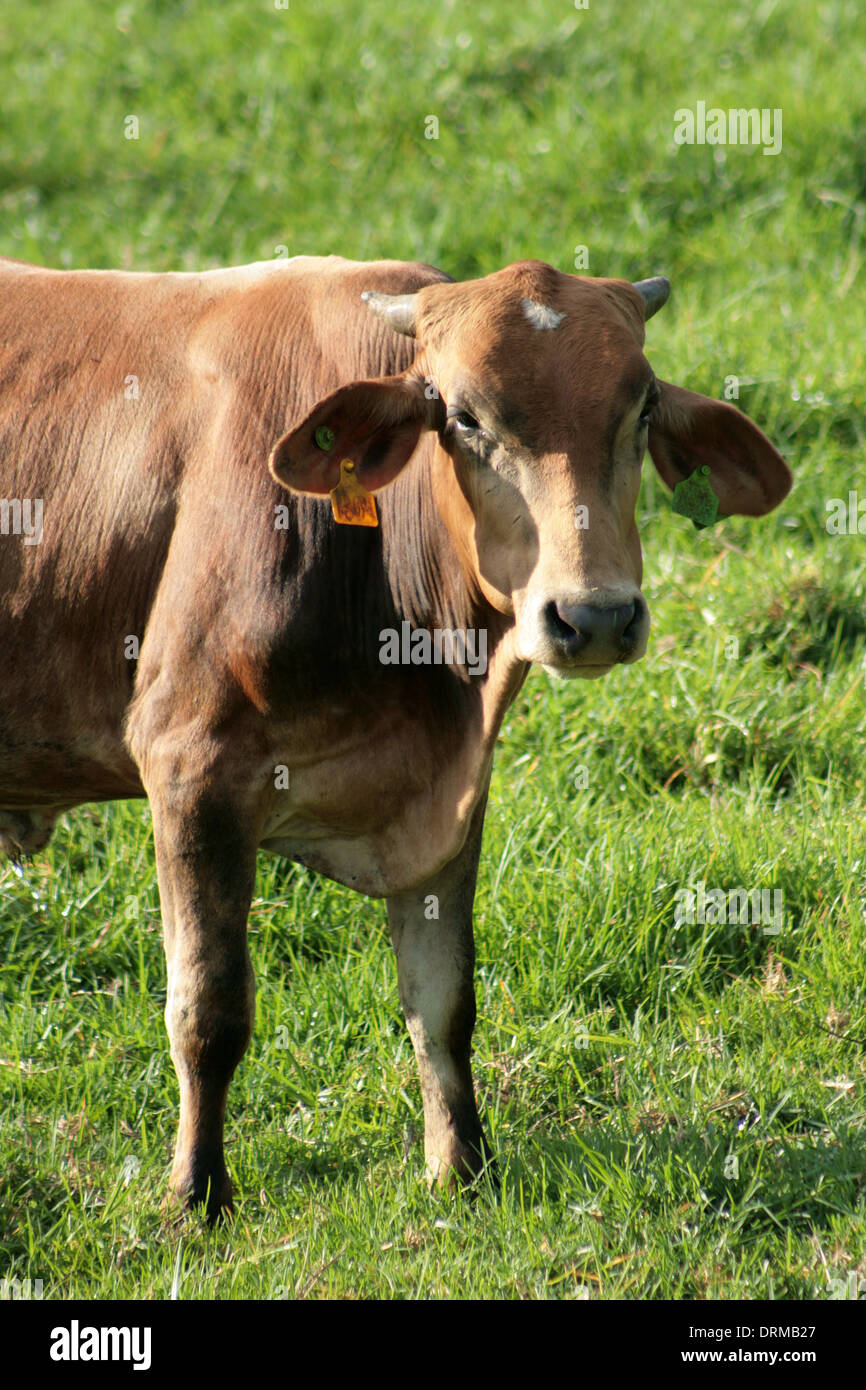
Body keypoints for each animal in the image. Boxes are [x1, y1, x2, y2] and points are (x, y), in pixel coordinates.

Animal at [0, 254, 791, 1219]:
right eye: (464, 416)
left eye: (639, 409)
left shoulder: (452, 798)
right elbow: (207, 1008)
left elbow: (443, 999)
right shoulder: (190, 765)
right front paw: (195, 1195)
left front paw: (461, 1167)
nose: (595, 616)